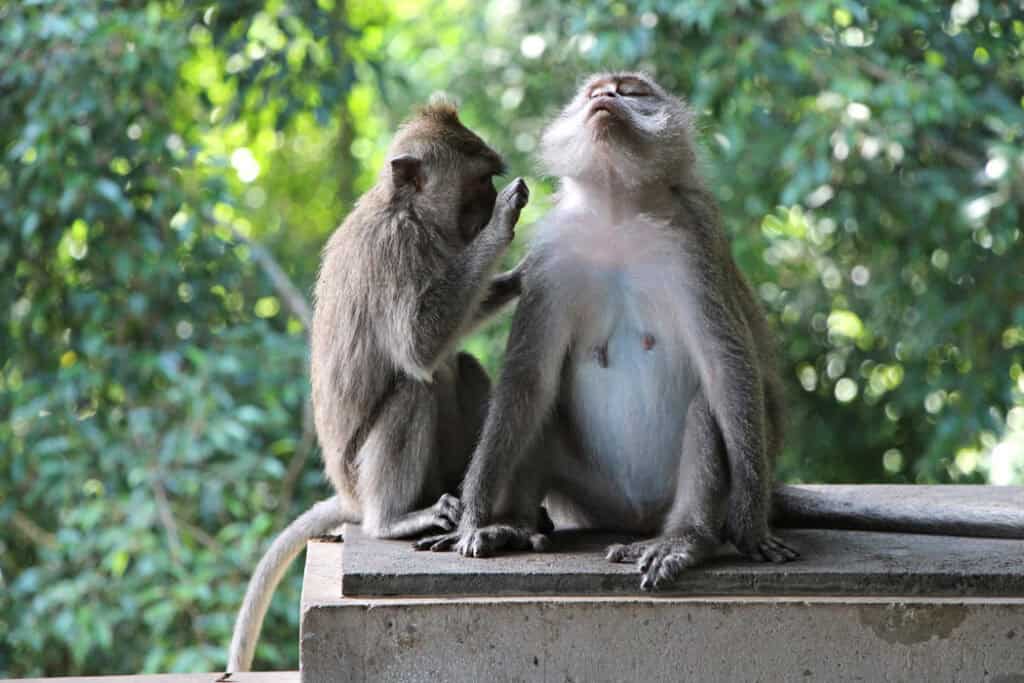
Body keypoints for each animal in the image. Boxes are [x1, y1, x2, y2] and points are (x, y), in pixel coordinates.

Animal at [227, 102, 530, 671]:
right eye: (480, 180)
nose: (487, 205)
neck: (408, 211)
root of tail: (351, 497)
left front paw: (524, 274)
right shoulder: (395, 250)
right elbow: (418, 345)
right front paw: (504, 223)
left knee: (462, 365)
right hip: (361, 475)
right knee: (417, 387)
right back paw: (394, 521)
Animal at [416, 72, 1024, 590]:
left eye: (632, 91)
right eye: (594, 91)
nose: (605, 98)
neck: (617, 214)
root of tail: (638, 518)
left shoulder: (695, 245)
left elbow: (727, 368)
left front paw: (749, 523)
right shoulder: (550, 256)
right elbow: (528, 378)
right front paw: (475, 516)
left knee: (710, 408)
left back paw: (687, 540)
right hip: (588, 497)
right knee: (540, 408)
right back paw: (514, 526)